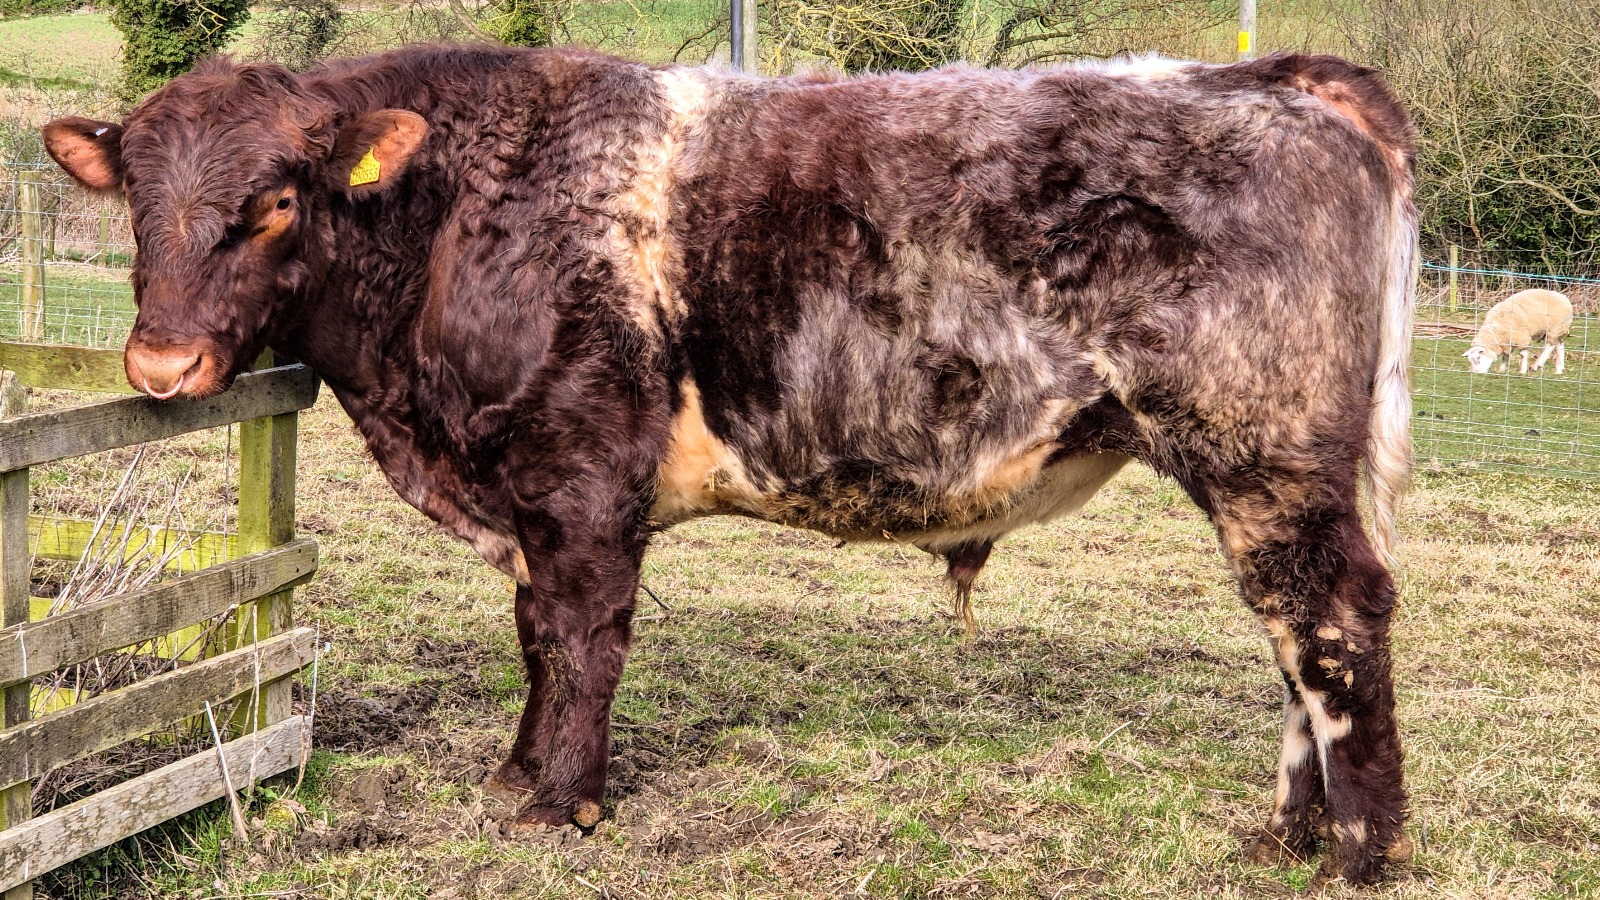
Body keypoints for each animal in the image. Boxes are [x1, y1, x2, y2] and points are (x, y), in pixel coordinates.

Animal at [43, 46, 1417, 884]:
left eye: (275, 202)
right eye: (136, 203)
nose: (160, 364)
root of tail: (1274, 79)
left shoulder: (584, 474)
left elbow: (583, 634)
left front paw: (562, 802)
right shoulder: (527, 493)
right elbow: (534, 635)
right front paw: (515, 771)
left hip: (1261, 452)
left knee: (1333, 621)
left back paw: (1359, 850)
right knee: (1292, 640)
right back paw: (1289, 839)